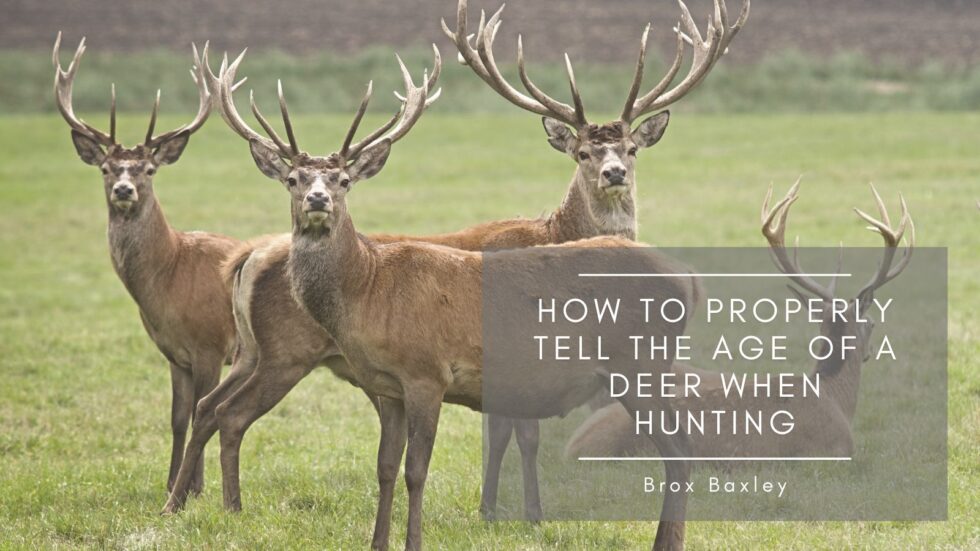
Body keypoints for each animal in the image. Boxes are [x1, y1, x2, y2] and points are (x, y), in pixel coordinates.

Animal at [52, 34, 238, 496]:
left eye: (149, 169)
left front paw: (194, 488)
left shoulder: (211, 345)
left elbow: (201, 412)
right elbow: (176, 418)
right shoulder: (174, 354)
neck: (170, 277)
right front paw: (173, 483)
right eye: (105, 168)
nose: (124, 189)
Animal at [161, 2, 748, 542]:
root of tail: (687, 276)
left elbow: (421, 470)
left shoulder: (428, 373)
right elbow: (386, 468)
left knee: (680, 449)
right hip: (268, 353)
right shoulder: (389, 387)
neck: (369, 290)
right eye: (293, 178)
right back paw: (194, 505)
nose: (318, 200)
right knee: (217, 410)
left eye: (345, 180)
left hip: (639, 362)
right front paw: (383, 540)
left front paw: (435, 534)